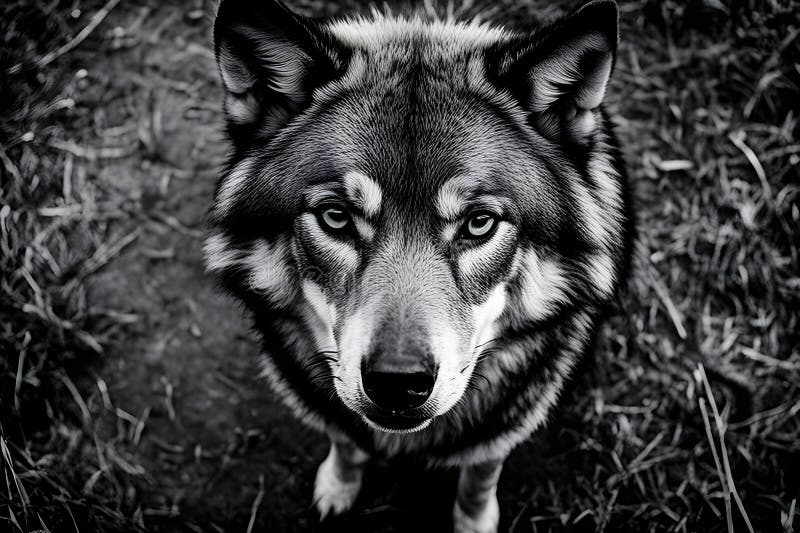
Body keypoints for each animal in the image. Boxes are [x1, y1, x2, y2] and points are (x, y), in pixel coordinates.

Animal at [204, 0, 632, 530]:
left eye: (479, 223)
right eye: (335, 217)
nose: (397, 381)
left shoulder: (505, 424)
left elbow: (479, 475)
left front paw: (474, 521)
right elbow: (346, 441)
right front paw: (338, 487)